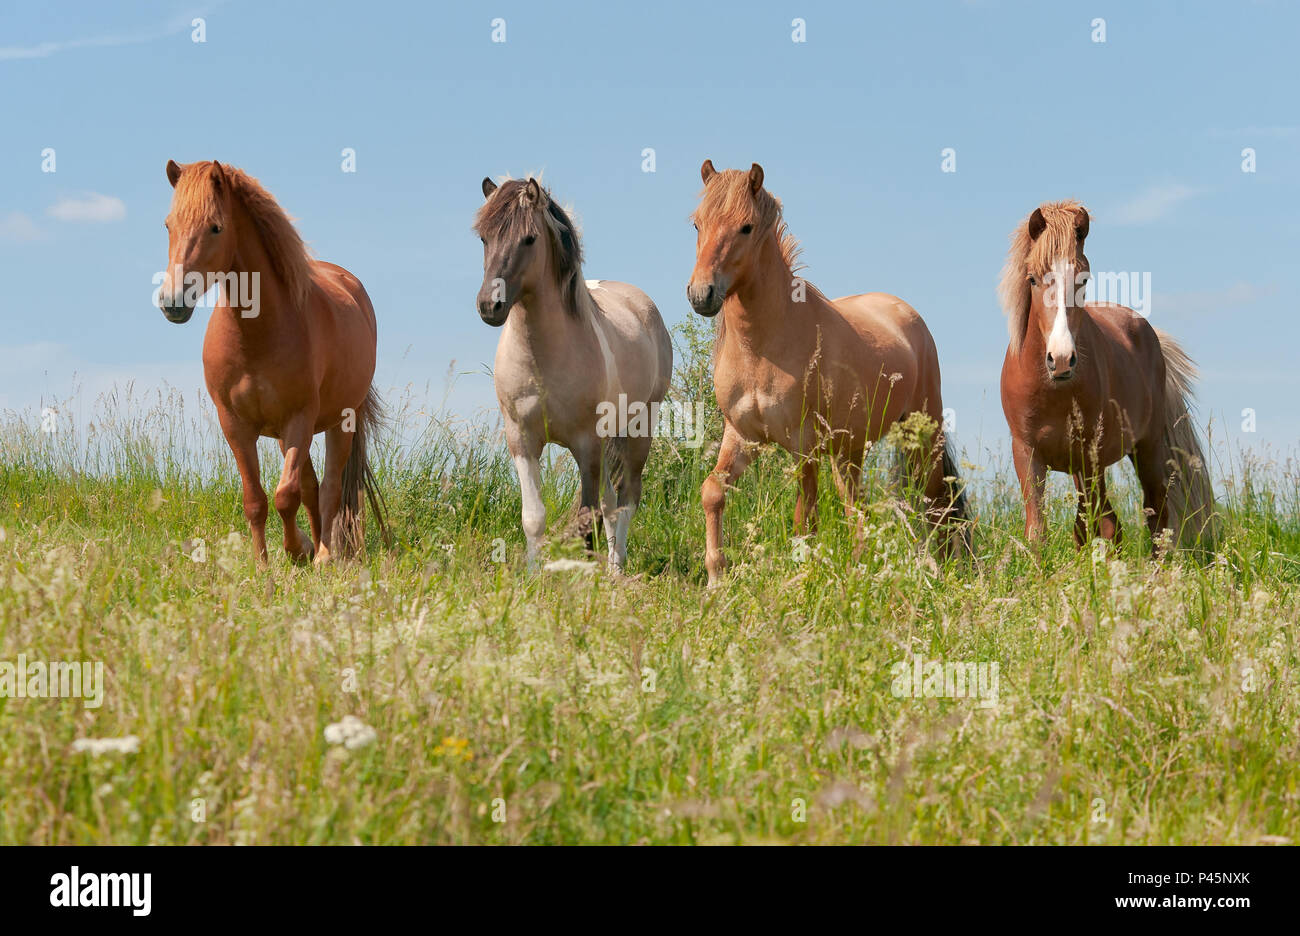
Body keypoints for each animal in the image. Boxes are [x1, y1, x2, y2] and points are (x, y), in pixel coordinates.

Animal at [156, 159, 389, 566]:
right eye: (169, 225)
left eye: (215, 227)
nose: (173, 302)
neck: (257, 335)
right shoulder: (235, 425)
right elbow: (256, 500)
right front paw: (264, 564)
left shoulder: (298, 419)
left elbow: (286, 495)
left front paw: (298, 550)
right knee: (312, 487)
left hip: (339, 422)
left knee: (329, 487)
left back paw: (325, 554)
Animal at [474, 176, 672, 571]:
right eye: (484, 238)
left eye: (529, 239)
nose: (490, 305)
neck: (543, 360)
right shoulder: (522, 440)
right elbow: (534, 516)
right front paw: (533, 576)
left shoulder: (587, 443)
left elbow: (587, 516)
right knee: (611, 502)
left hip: (638, 430)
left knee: (625, 498)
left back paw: (616, 568)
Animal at [686, 160, 968, 586]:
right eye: (697, 224)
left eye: (746, 227)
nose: (702, 294)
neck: (762, 347)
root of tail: (906, 314)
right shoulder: (742, 435)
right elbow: (713, 492)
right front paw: (716, 578)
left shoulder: (804, 446)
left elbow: (805, 517)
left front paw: (802, 575)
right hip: (849, 452)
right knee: (859, 511)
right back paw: (860, 570)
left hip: (922, 435)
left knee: (936, 501)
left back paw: (944, 567)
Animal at [998, 200, 1216, 553]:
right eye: (1032, 279)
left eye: (1083, 280)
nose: (1061, 359)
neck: (1052, 390)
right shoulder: (1027, 454)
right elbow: (1039, 531)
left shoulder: (1091, 455)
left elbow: (1098, 526)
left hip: (1145, 450)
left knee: (1153, 515)